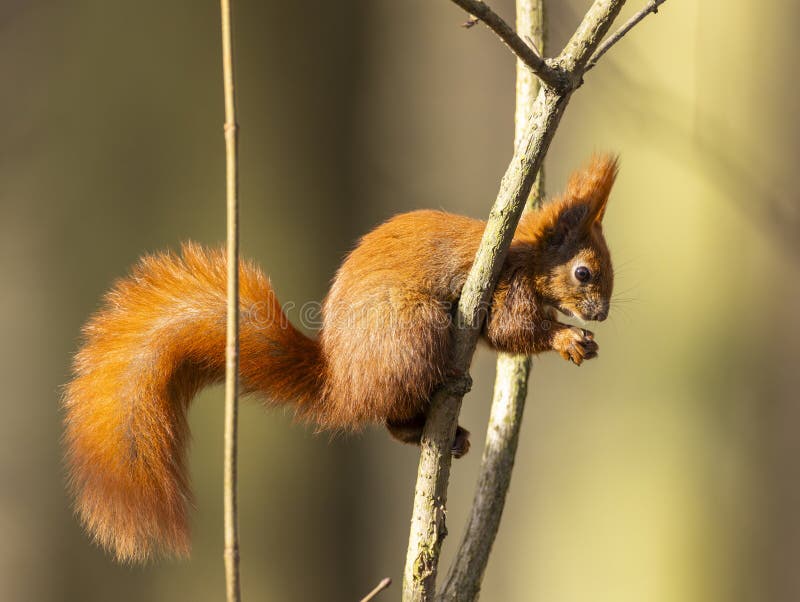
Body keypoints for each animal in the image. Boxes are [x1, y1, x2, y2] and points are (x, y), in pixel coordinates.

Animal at [63, 154, 618, 563]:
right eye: (584, 273)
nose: (603, 314)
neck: (523, 248)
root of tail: (342, 384)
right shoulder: (503, 282)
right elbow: (511, 328)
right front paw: (568, 339)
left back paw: (449, 434)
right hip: (413, 330)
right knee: (396, 410)